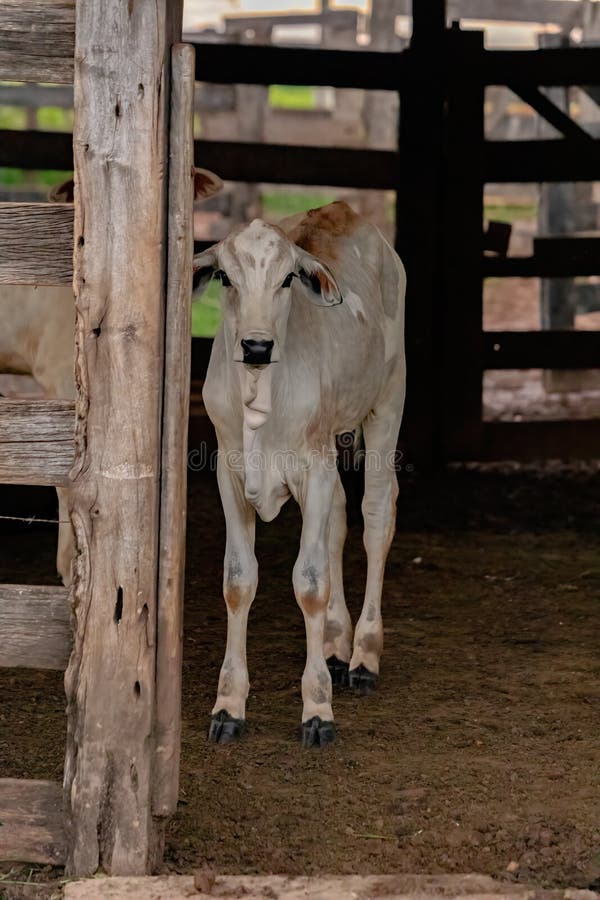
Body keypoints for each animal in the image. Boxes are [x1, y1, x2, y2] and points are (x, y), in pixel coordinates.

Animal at [193, 200, 406, 747]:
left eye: (288, 278)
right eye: (225, 277)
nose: (256, 346)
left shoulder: (314, 469)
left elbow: (310, 582)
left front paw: (317, 710)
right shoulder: (229, 474)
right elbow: (238, 580)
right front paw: (228, 706)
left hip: (387, 404)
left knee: (375, 516)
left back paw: (363, 655)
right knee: (338, 523)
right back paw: (335, 645)